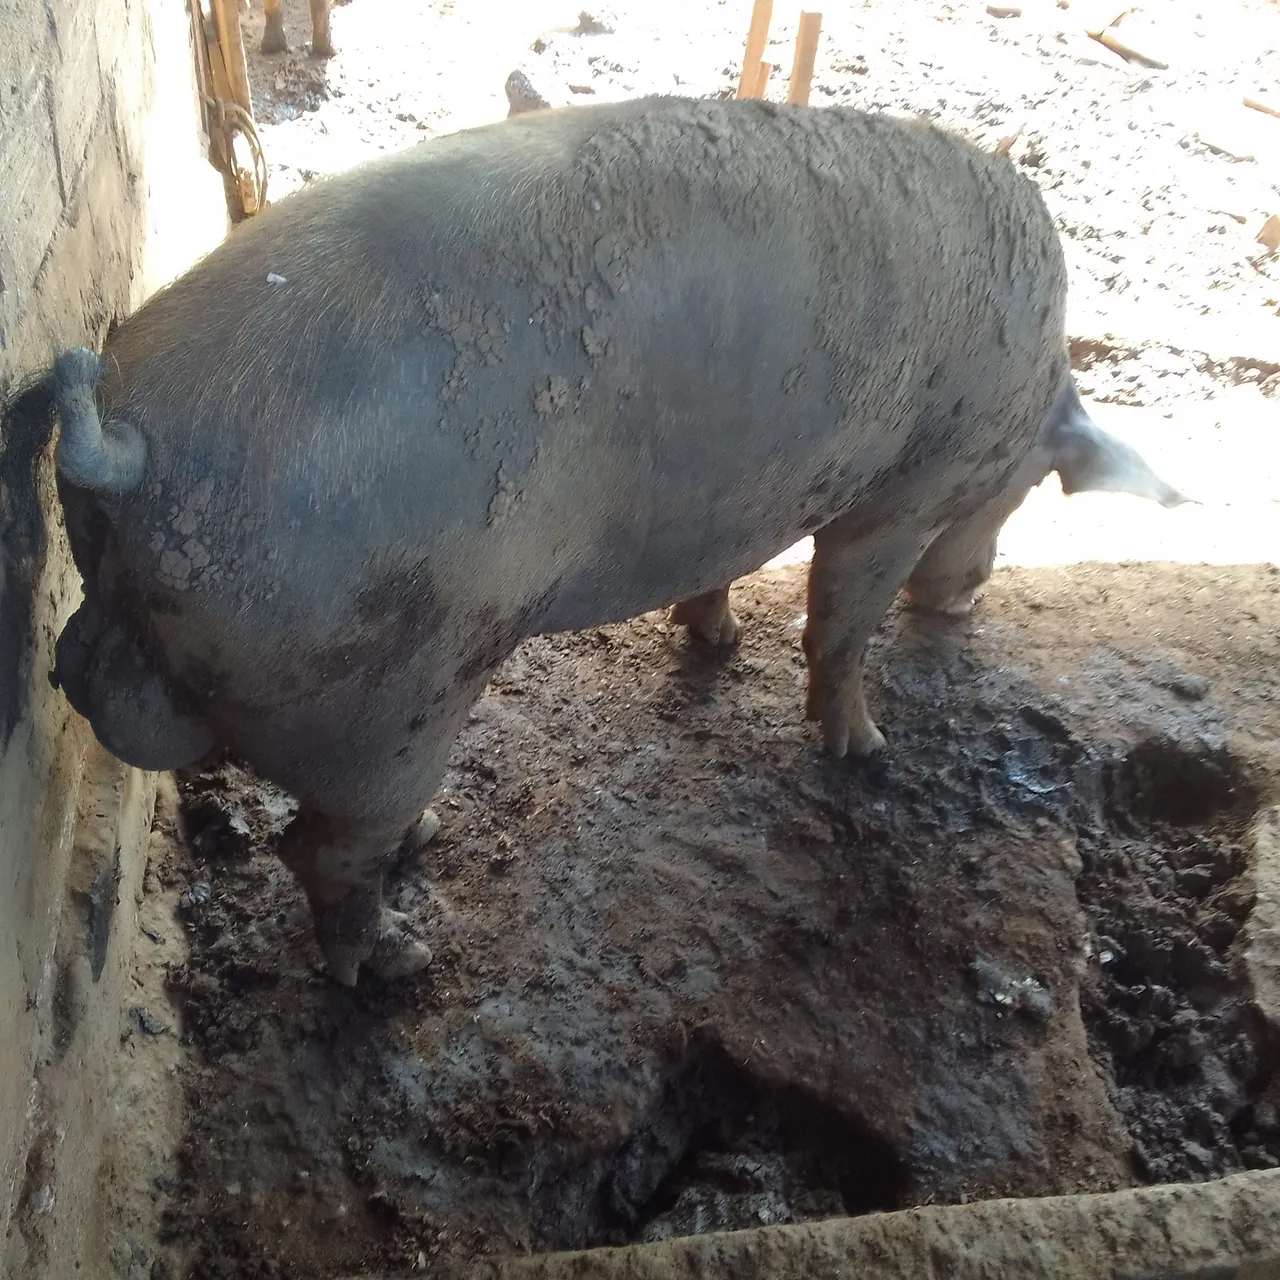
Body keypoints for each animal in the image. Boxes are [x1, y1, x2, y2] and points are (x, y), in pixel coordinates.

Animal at [44, 97, 1184, 986]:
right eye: (1034, 482)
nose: (965, 595)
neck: (1032, 383)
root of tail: (132, 451)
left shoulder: (744, 495)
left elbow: (730, 570)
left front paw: (717, 641)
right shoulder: (900, 495)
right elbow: (842, 617)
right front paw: (864, 750)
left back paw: (423, 850)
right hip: (387, 689)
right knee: (321, 851)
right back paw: (400, 961)